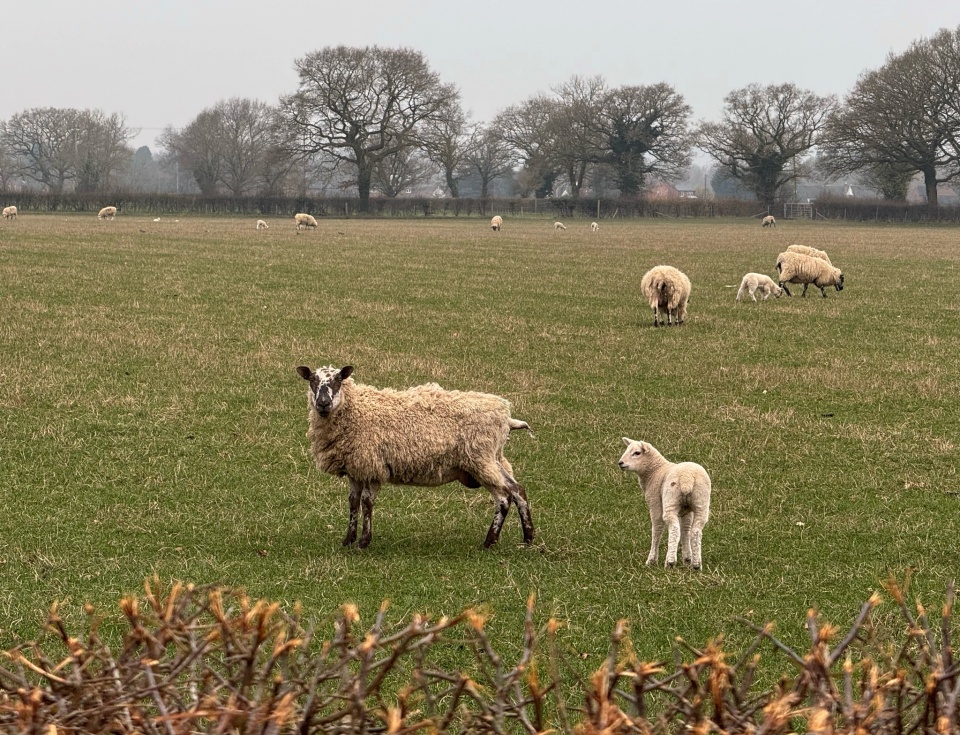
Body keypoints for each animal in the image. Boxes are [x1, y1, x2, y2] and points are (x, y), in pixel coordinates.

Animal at [295, 365, 534, 549]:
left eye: (338, 380)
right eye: (312, 380)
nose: (323, 403)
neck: (356, 409)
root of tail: (506, 416)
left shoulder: (373, 466)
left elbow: (366, 502)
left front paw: (364, 541)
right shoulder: (356, 468)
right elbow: (353, 503)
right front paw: (348, 540)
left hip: (480, 459)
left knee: (504, 497)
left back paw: (489, 541)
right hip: (494, 458)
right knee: (518, 490)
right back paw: (529, 537)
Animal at [618, 438, 711, 570]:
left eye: (637, 453)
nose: (620, 463)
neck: (655, 471)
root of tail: (687, 478)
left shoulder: (655, 502)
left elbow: (657, 529)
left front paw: (651, 560)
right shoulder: (687, 510)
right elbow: (686, 529)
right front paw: (687, 559)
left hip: (670, 501)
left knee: (674, 529)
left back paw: (670, 562)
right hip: (701, 503)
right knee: (696, 531)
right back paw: (696, 565)